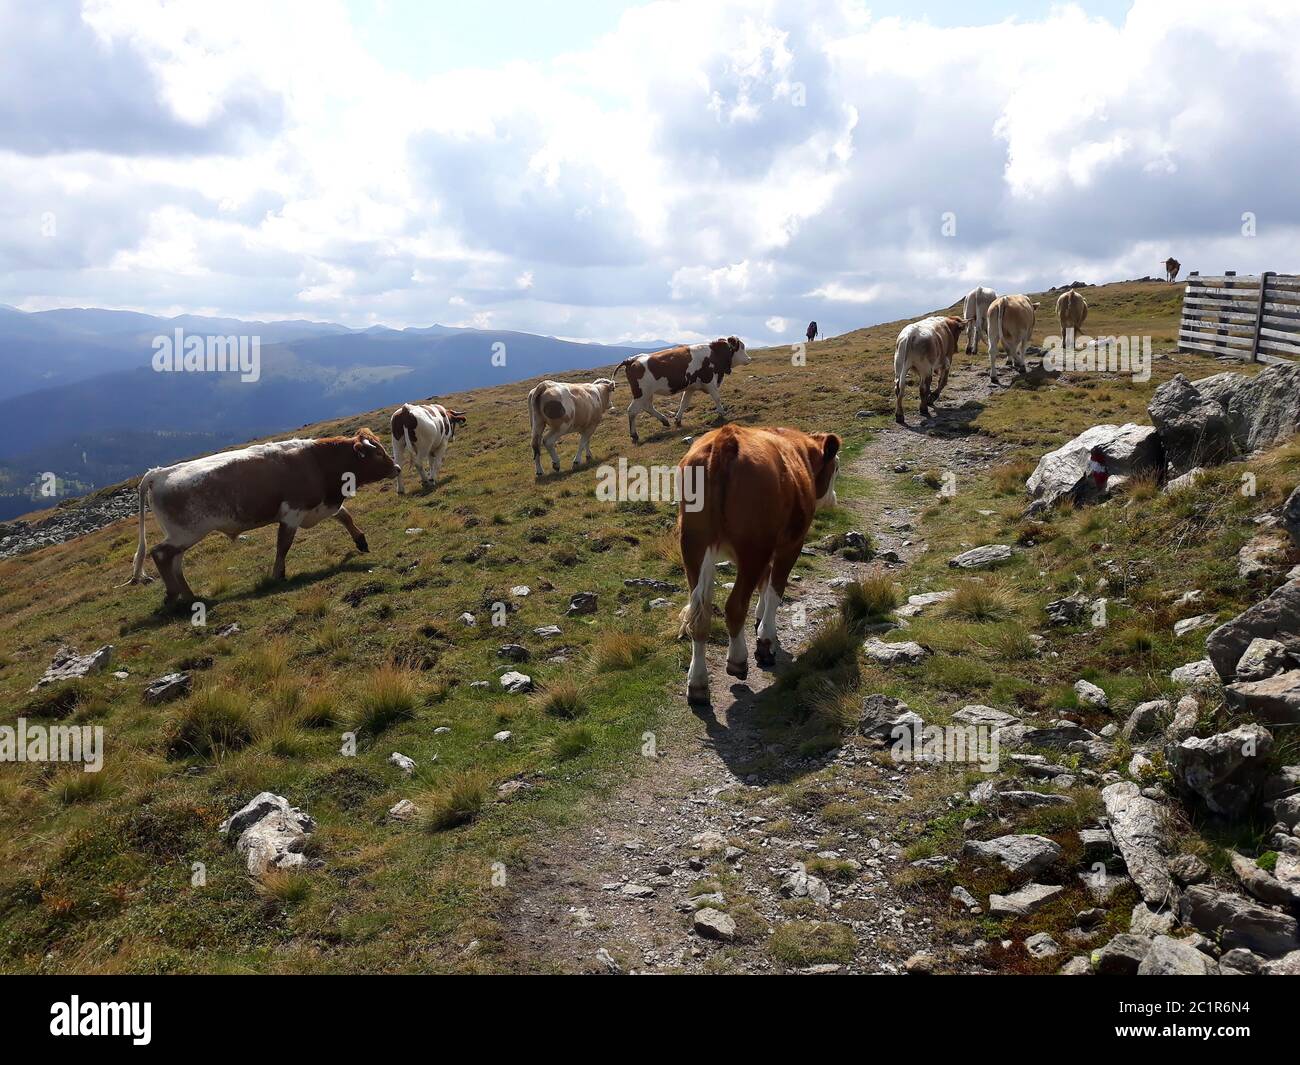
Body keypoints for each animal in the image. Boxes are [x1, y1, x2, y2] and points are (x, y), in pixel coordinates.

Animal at [123, 429, 400, 604]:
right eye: (377, 453)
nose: (397, 468)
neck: (318, 463)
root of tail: (159, 473)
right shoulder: (292, 513)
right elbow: (283, 545)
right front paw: (277, 575)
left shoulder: (320, 506)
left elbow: (345, 516)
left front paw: (361, 541)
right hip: (186, 533)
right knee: (159, 553)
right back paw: (173, 594)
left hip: (180, 536)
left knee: (174, 563)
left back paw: (190, 596)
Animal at [614, 336, 750, 444]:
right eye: (742, 347)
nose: (749, 359)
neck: (714, 354)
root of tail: (632, 359)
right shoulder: (709, 381)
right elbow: (716, 397)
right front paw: (722, 413)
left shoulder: (690, 388)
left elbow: (684, 403)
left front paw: (678, 420)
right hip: (640, 393)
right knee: (632, 410)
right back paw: (634, 435)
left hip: (646, 393)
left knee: (647, 407)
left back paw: (664, 421)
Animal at [677, 424, 841, 704]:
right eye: (836, 467)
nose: (833, 498)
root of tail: (726, 438)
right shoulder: (790, 544)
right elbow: (775, 588)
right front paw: (766, 639)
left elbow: (764, 584)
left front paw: (759, 617)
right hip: (753, 548)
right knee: (734, 606)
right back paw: (737, 660)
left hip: (694, 547)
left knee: (700, 615)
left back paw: (697, 684)